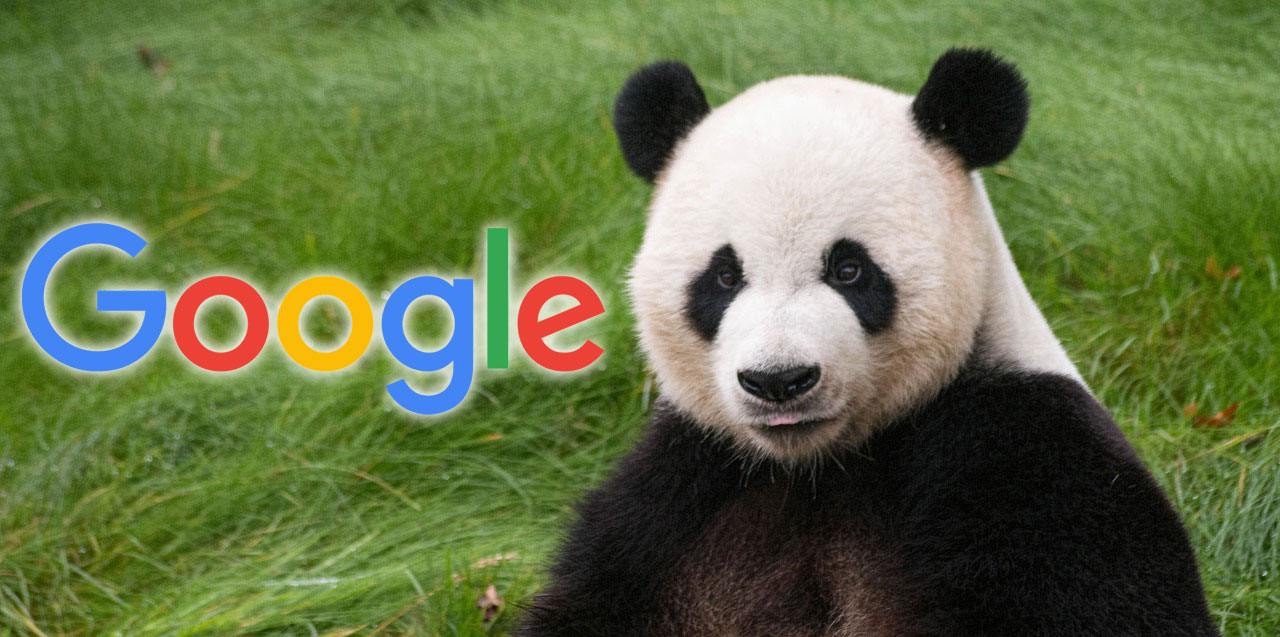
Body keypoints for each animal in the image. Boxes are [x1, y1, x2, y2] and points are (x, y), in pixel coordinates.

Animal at [517, 49, 1217, 636]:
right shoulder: (678, 495)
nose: (779, 380)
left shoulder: (1028, 456)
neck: (819, 467)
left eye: (849, 270)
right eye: (724, 276)